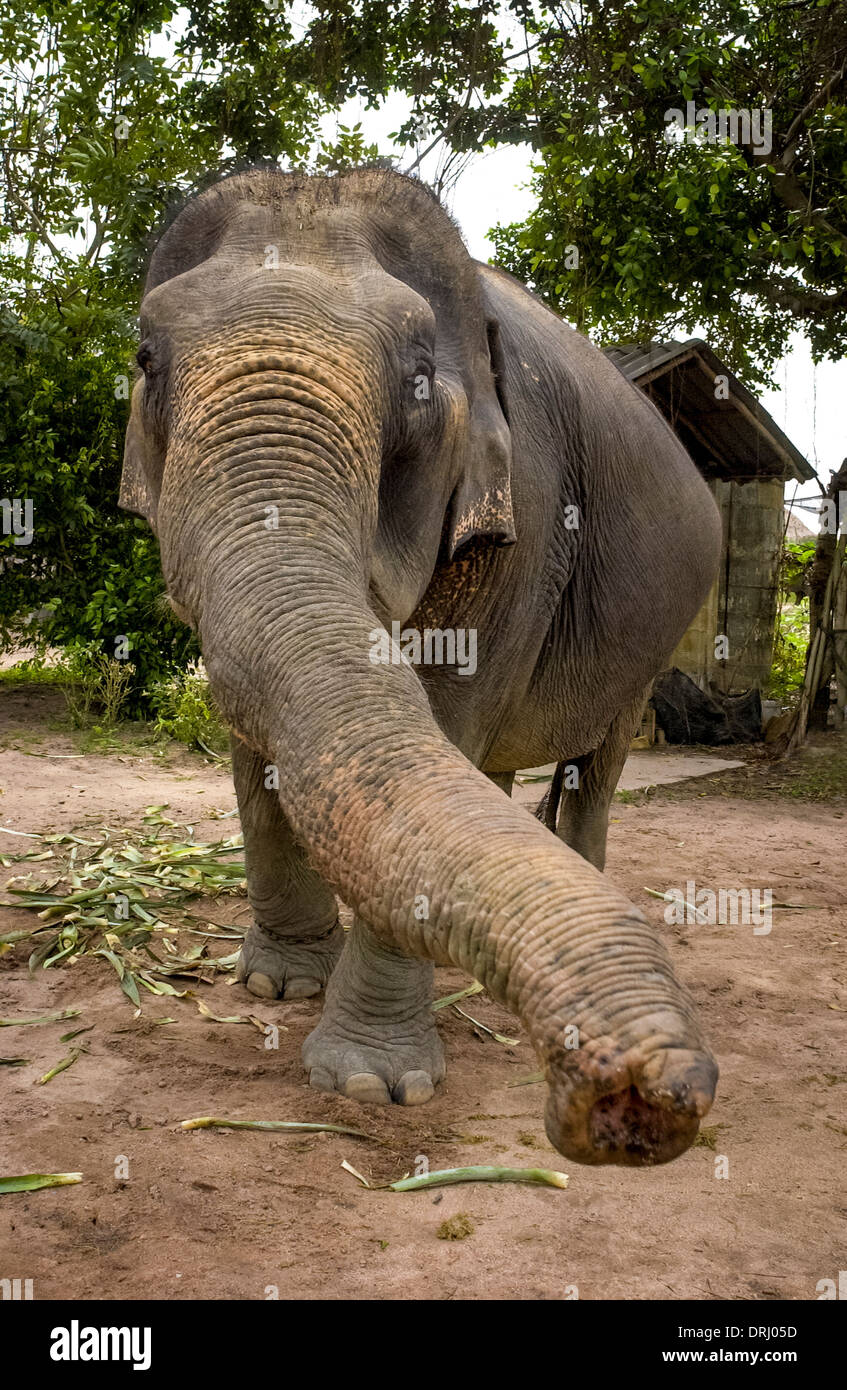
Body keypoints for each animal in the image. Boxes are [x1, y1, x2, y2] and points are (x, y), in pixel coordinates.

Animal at [120, 165, 722, 1166]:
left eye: (414, 380)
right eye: (145, 361)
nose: (640, 1097)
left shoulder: (524, 516)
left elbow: (443, 711)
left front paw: (371, 1082)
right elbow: (261, 737)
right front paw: (278, 987)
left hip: (653, 634)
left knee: (594, 761)